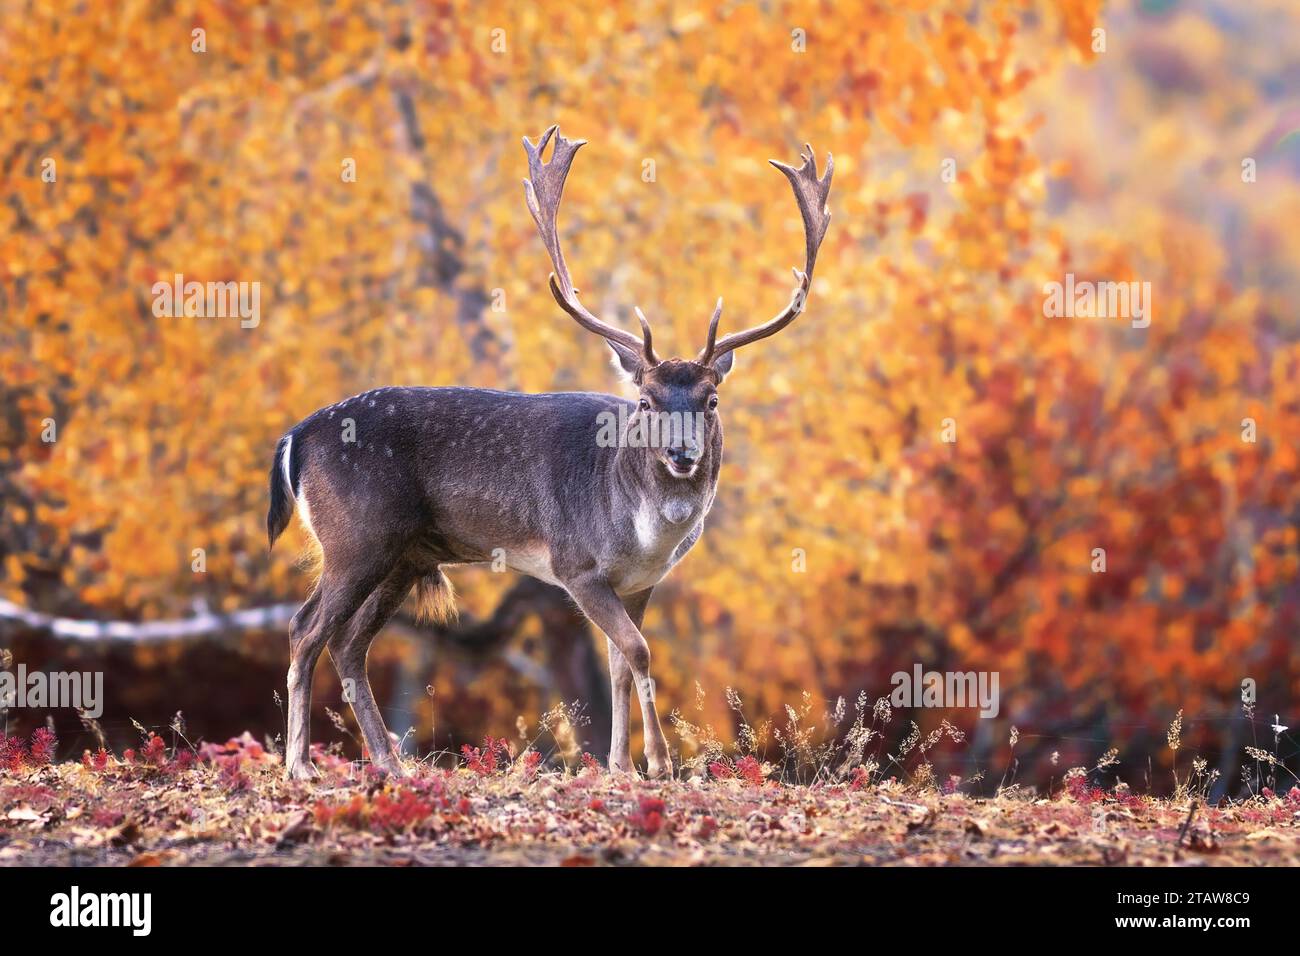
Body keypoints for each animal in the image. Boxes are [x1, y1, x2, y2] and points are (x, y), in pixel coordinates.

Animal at [266, 126, 831, 780]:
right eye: (645, 398)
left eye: (711, 399)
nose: (683, 453)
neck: (642, 529)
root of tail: (297, 435)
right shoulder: (575, 565)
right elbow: (638, 651)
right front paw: (658, 763)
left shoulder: (640, 583)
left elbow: (618, 662)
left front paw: (620, 765)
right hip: (357, 537)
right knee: (305, 628)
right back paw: (300, 765)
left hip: (402, 555)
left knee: (349, 642)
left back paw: (390, 762)